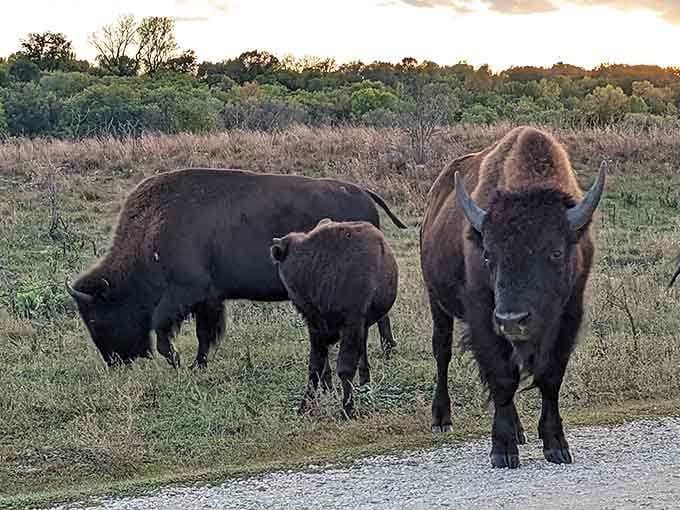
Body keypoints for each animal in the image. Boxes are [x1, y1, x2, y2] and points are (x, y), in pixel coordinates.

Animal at [66, 168, 406, 369]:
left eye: (96, 318)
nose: (115, 362)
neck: (152, 228)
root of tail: (363, 193)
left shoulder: (184, 294)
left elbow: (162, 326)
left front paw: (178, 361)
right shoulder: (208, 300)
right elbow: (204, 334)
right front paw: (197, 364)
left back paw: (387, 350)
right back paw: (387, 350)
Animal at [270, 219, 399, 418]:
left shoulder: (352, 323)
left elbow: (345, 367)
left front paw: (347, 409)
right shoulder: (315, 326)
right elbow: (315, 367)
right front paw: (304, 406)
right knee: (362, 355)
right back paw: (365, 386)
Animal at [420, 126, 605, 468]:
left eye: (556, 252)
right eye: (488, 255)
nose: (512, 320)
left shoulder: (569, 314)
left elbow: (550, 376)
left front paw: (556, 445)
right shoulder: (483, 315)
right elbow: (501, 376)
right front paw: (503, 450)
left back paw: (519, 430)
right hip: (436, 300)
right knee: (442, 351)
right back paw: (442, 419)